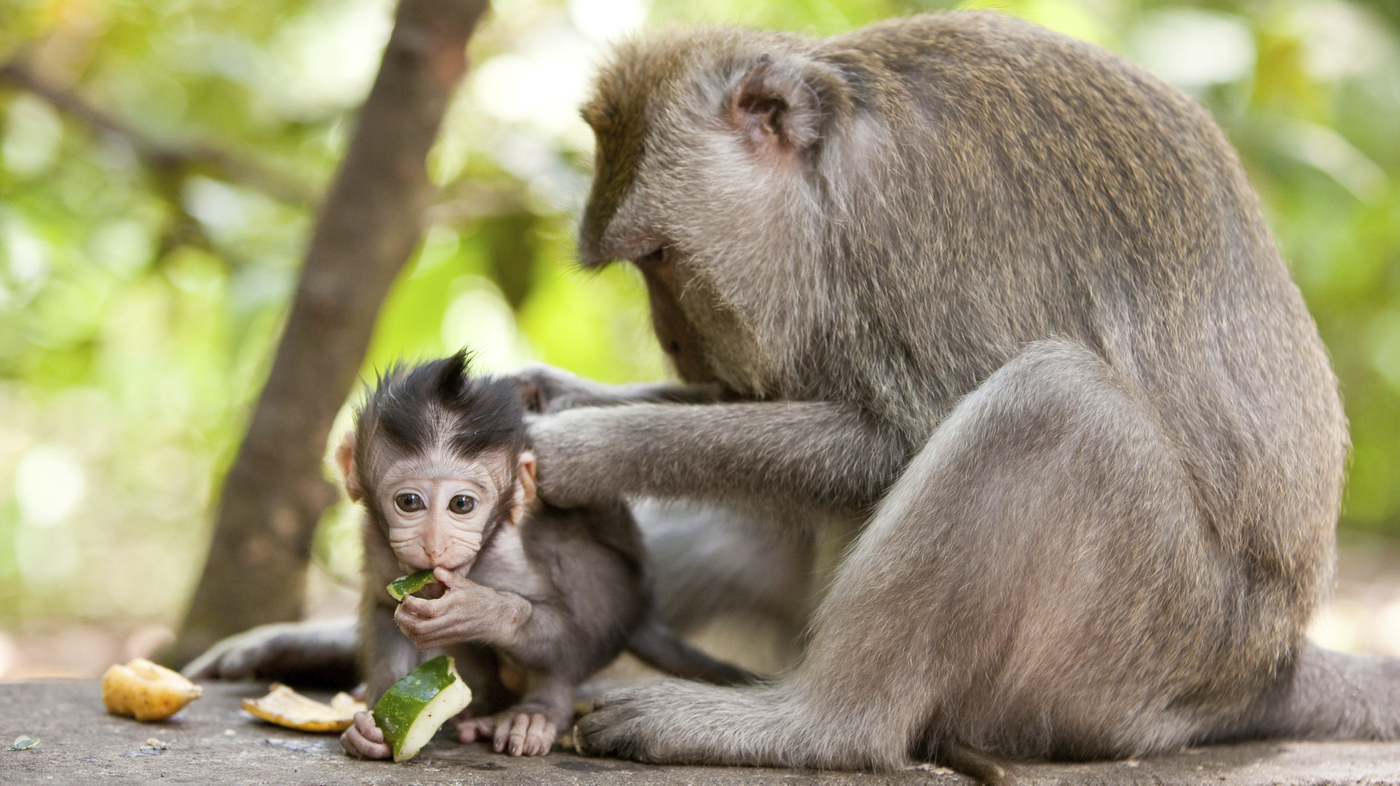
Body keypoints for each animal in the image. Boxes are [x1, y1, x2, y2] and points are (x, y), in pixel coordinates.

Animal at [334, 351, 754, 759]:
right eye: (409, 502)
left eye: (462, 504)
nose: (435, 544)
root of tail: (643, 614)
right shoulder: (375, 540)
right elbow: (384, 608)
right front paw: (372, 726)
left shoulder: (509, 557)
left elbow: (570, 634)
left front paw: (482, 612)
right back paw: (485, 704)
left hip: (619, 600)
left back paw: (536, 712)